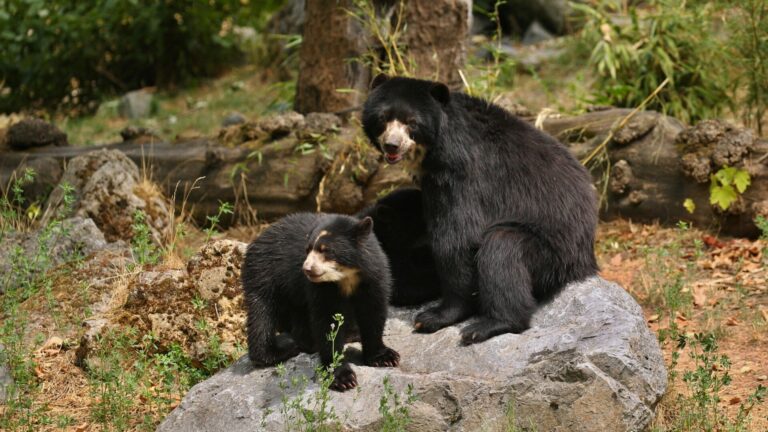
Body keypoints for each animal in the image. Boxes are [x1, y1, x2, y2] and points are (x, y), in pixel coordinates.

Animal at [242, 213, 400, 391]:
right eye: (307, 250)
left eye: (326, 250)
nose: (307, 269)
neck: (347, 277)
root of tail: (257, 239)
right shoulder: (322, 288)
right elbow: (327, 322)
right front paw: (342, 377)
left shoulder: (372, 278)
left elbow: (373, 312)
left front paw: (385, 357)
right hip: (264, 273)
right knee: (262, 313)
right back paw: (279, 350)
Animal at [361, 75, 598, 345]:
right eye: (383, 118)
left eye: (412, 122)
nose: (391, 145)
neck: (437, 147)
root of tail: (586, 260)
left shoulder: (461, 173)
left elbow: (458, 238)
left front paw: (434, 316)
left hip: (551, 251)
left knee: (502, 249)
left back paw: (488, 325)